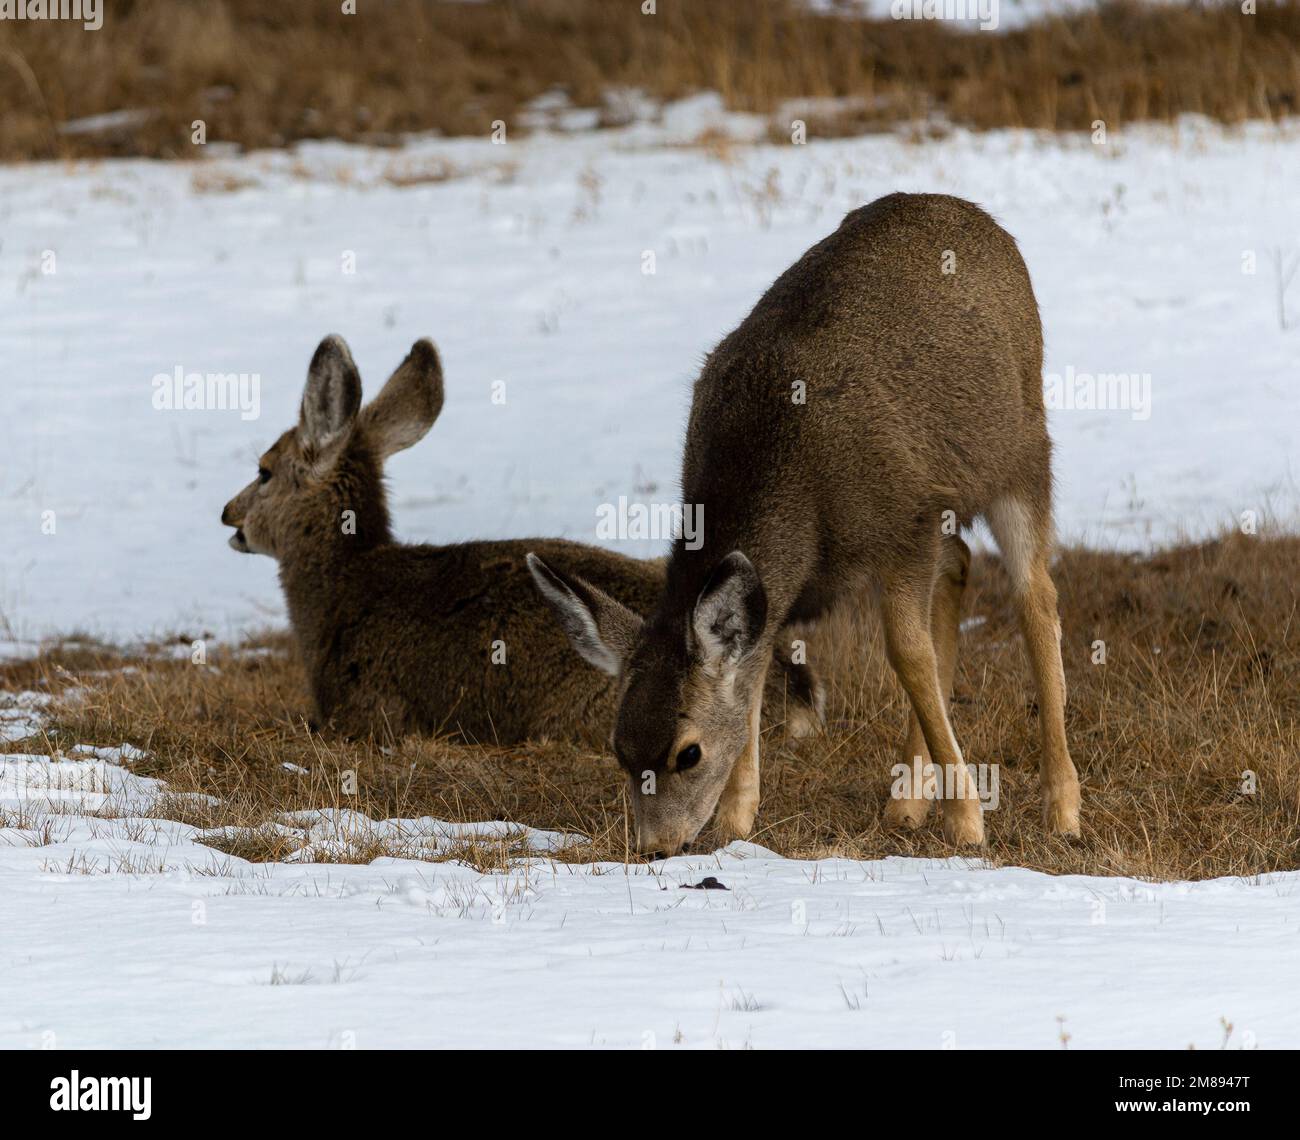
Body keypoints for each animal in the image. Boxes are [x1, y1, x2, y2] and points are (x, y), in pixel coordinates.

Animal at [529, 193, 1081, 856]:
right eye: (618, 749)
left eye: (688, 753)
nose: (655, 846)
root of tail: (977, 217)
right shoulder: (807, 573)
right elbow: (758, 663)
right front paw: (737, 820)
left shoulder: (905, 518)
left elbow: (907, 653)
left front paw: (969, 819)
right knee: (961, 569)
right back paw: (906, 803)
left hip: (1024, 456)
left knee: (1036, 597)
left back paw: (1061, 808)